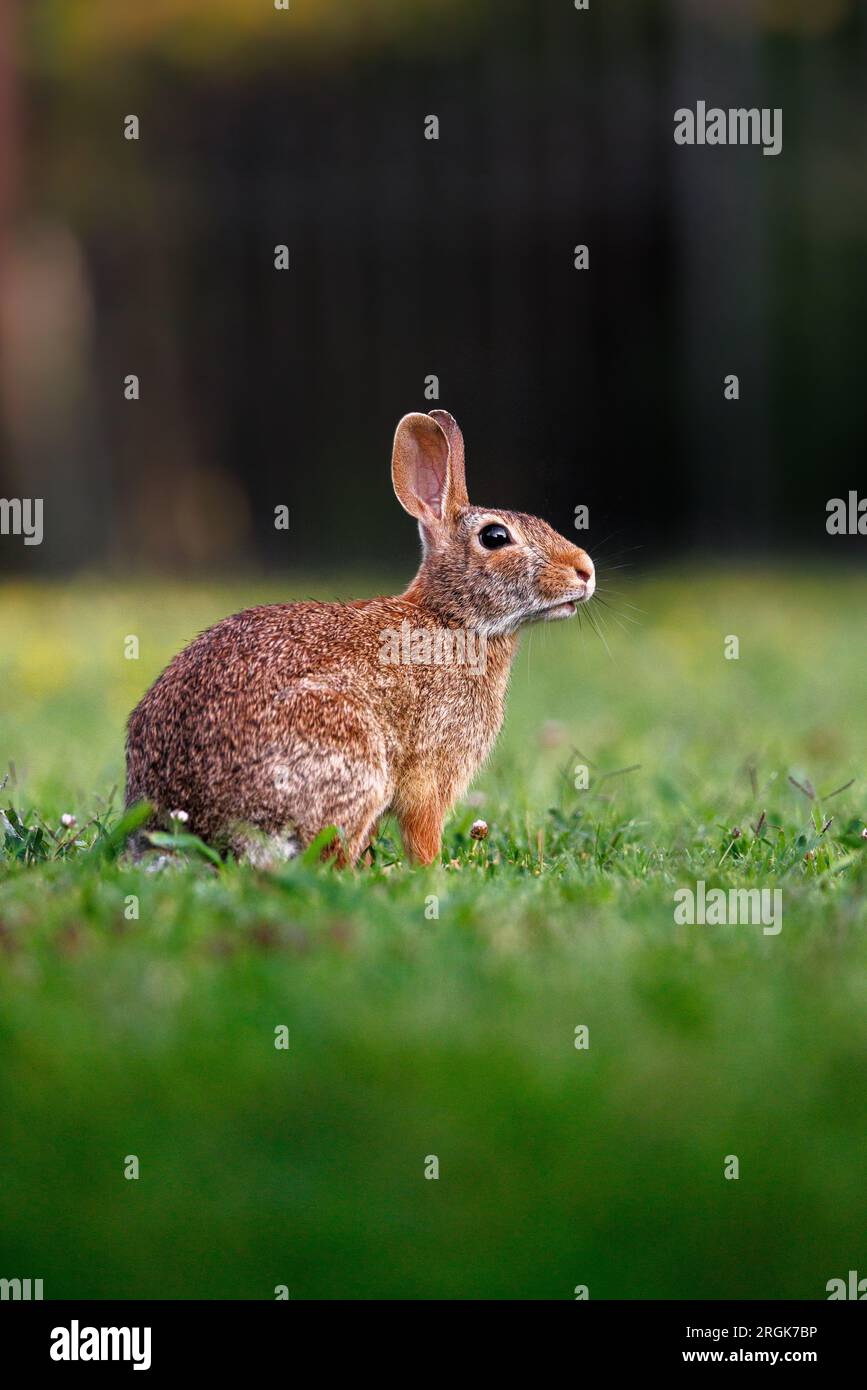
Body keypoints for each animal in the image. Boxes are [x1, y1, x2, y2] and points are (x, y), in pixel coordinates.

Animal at [125, 410, 595, 866]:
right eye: (495, 537)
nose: (585, 570)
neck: (453, 619)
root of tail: (190, 819)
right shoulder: (431, 771)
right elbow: (422, 832)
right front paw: (438, 871)